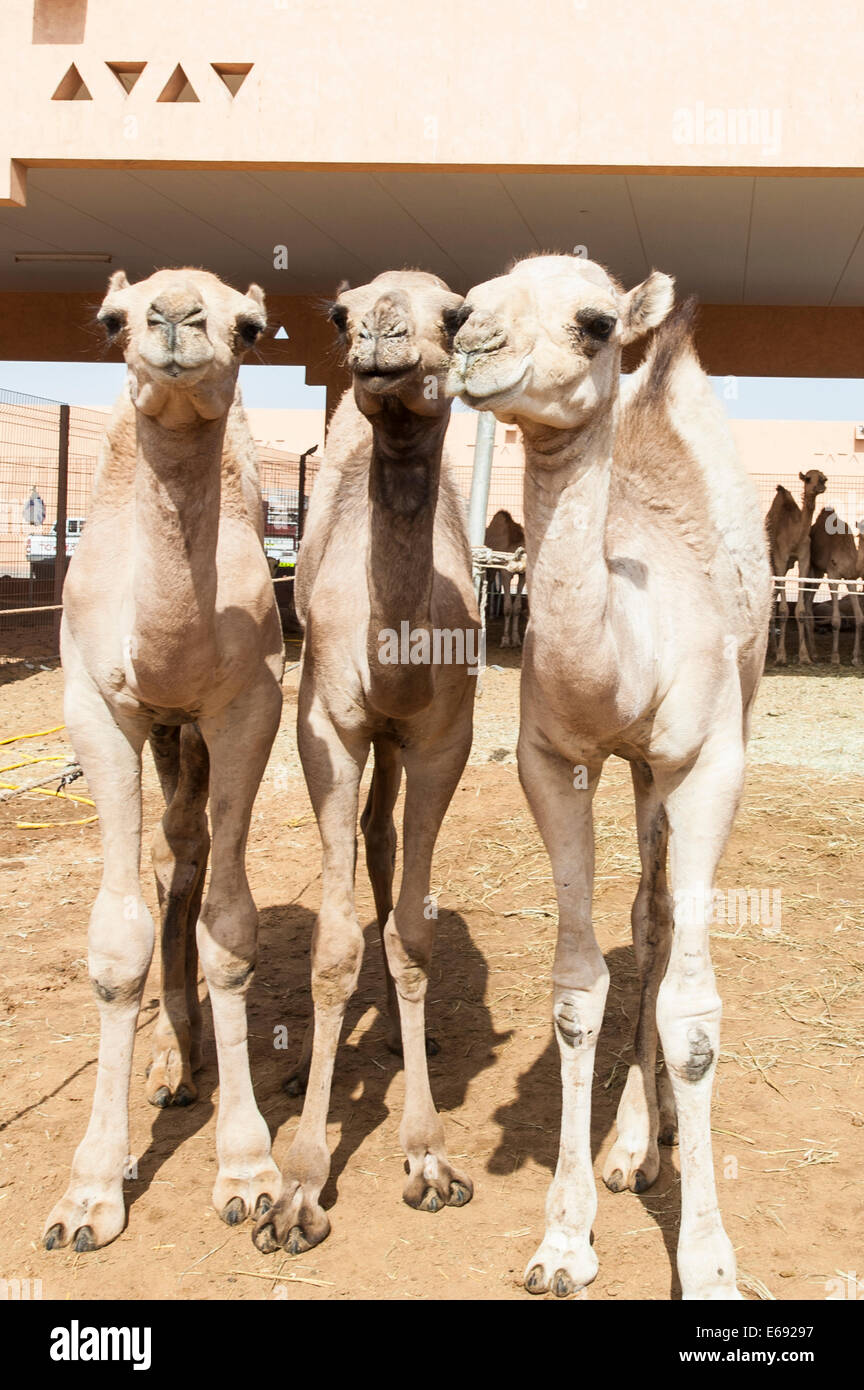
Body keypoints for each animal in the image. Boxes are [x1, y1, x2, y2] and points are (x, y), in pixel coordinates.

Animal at [485, 507, 526, 646]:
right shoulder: (506, 574)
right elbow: (507, 607)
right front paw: (506, 640)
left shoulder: (523, 576)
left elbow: (517, 607)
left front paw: (516, 639)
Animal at [764, 470, 826, 664]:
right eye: (808, 479)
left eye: (824, 478)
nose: (820, 487)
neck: (795, 535)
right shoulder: (781, 558)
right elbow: (784, 610)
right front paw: (781, 656)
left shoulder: (804, 559)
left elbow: (801, 610)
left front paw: (805, 656)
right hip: (772, 563)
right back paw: (773, 651)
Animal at [804, 504, 863, 665]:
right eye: (860, 536)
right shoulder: (833, 576)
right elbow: (836, 620)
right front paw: (835, 657)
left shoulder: (851, 579)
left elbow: (859, 618)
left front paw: (855, 658)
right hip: (812, 568)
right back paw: (812, 653)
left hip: (818, 572)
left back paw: (814, 653)